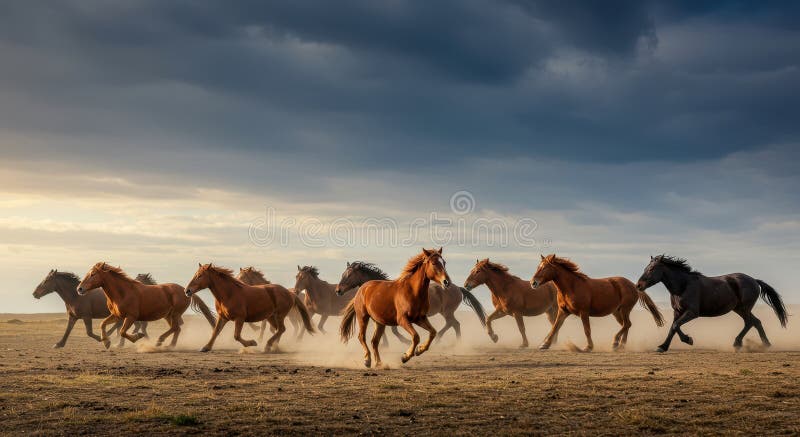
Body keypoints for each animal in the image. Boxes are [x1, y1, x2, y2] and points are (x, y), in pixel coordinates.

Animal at [77, 262, 216, 348]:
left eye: (93, 274)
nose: (79, 289)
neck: (123, 292)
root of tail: (186, 291)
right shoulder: (117, 315)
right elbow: (103, 324)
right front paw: (106, 342)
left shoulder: (131, 317)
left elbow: (122, 331)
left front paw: (138, 336)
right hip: (168, 315)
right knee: (177, 328)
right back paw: (169, 345)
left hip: (175, 314)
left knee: (176, 327)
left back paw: (160, 341)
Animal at [185, 264, 314, 352]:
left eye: (200, 276)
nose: (187, 290)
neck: (229, 294)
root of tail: (290, 293)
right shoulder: (223, 317)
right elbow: (215, 332)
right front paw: (206, 347)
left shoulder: (240, 318)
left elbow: (237, 336)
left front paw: (252, 343)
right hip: (271, 317)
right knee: (278, 330)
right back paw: (274, 347)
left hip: (279, 315)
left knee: (281, 329)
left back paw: (268, 346)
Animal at [336, 261, 486, 342]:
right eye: (342, 274)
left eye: (348, 275)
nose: (338, 290)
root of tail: (458, 288)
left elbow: (394, 332)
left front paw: (405, 341)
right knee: (454, 324)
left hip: (447, 312)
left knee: (454, 324)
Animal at [531, 254, 664, 352]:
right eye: (538, 266)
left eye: (544, 267)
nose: (533, 283)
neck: (571, 287)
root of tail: (634, 285)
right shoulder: (563, 311)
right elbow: (554, 327)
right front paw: (544, 345)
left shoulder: (583, 312)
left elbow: (587, 330)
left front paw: (588, 347)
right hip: (617, 312)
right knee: (626, 325)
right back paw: (621, 345)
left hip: (625, 309)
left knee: (627, 324)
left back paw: (615, 343)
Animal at [637, 255, 788, 352]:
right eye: (645, 268)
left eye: (651, 269)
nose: (638, 285)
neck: (683, 286)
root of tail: (754, 281)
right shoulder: (678, 312)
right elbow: (673, 328)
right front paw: (663, 346)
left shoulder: (692, 312)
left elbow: (675, 326)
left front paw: (688, 340)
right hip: (739, 309)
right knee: (755, 322)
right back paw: (764, 344)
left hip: (744, 309)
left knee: (751, 322)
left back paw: (740, 343)